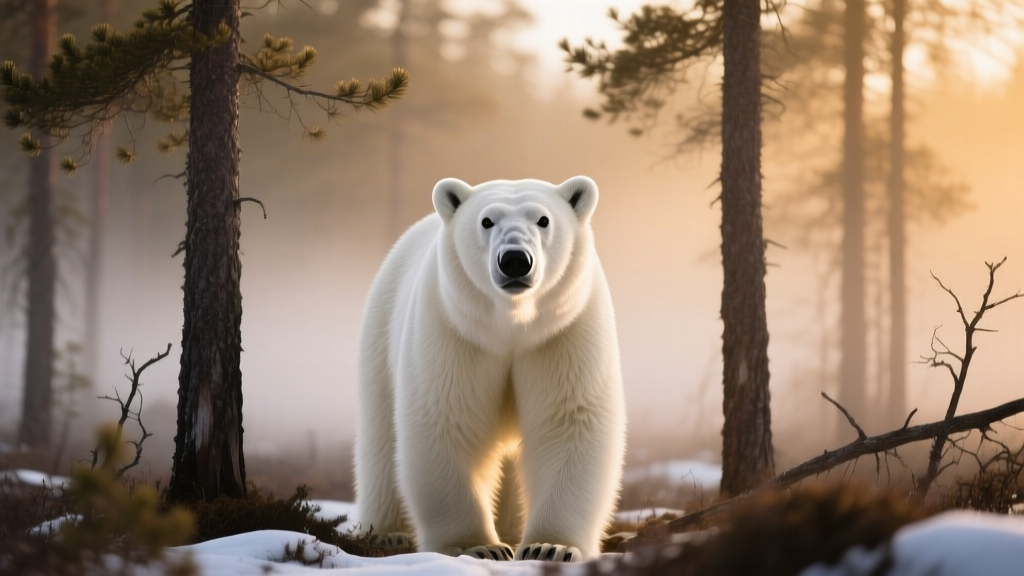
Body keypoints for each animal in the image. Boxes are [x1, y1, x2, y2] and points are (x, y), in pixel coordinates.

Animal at [353, 176, 626, 562]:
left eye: (543, 219)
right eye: (486, 220)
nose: (515, 260)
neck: (511, 326)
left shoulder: (563, 332)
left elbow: (569, 421)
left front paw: (550, 547)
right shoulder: (455, 333)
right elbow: (448, 419)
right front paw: (479, 547)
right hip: (381, 331)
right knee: (380, 436)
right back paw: (387, 534)